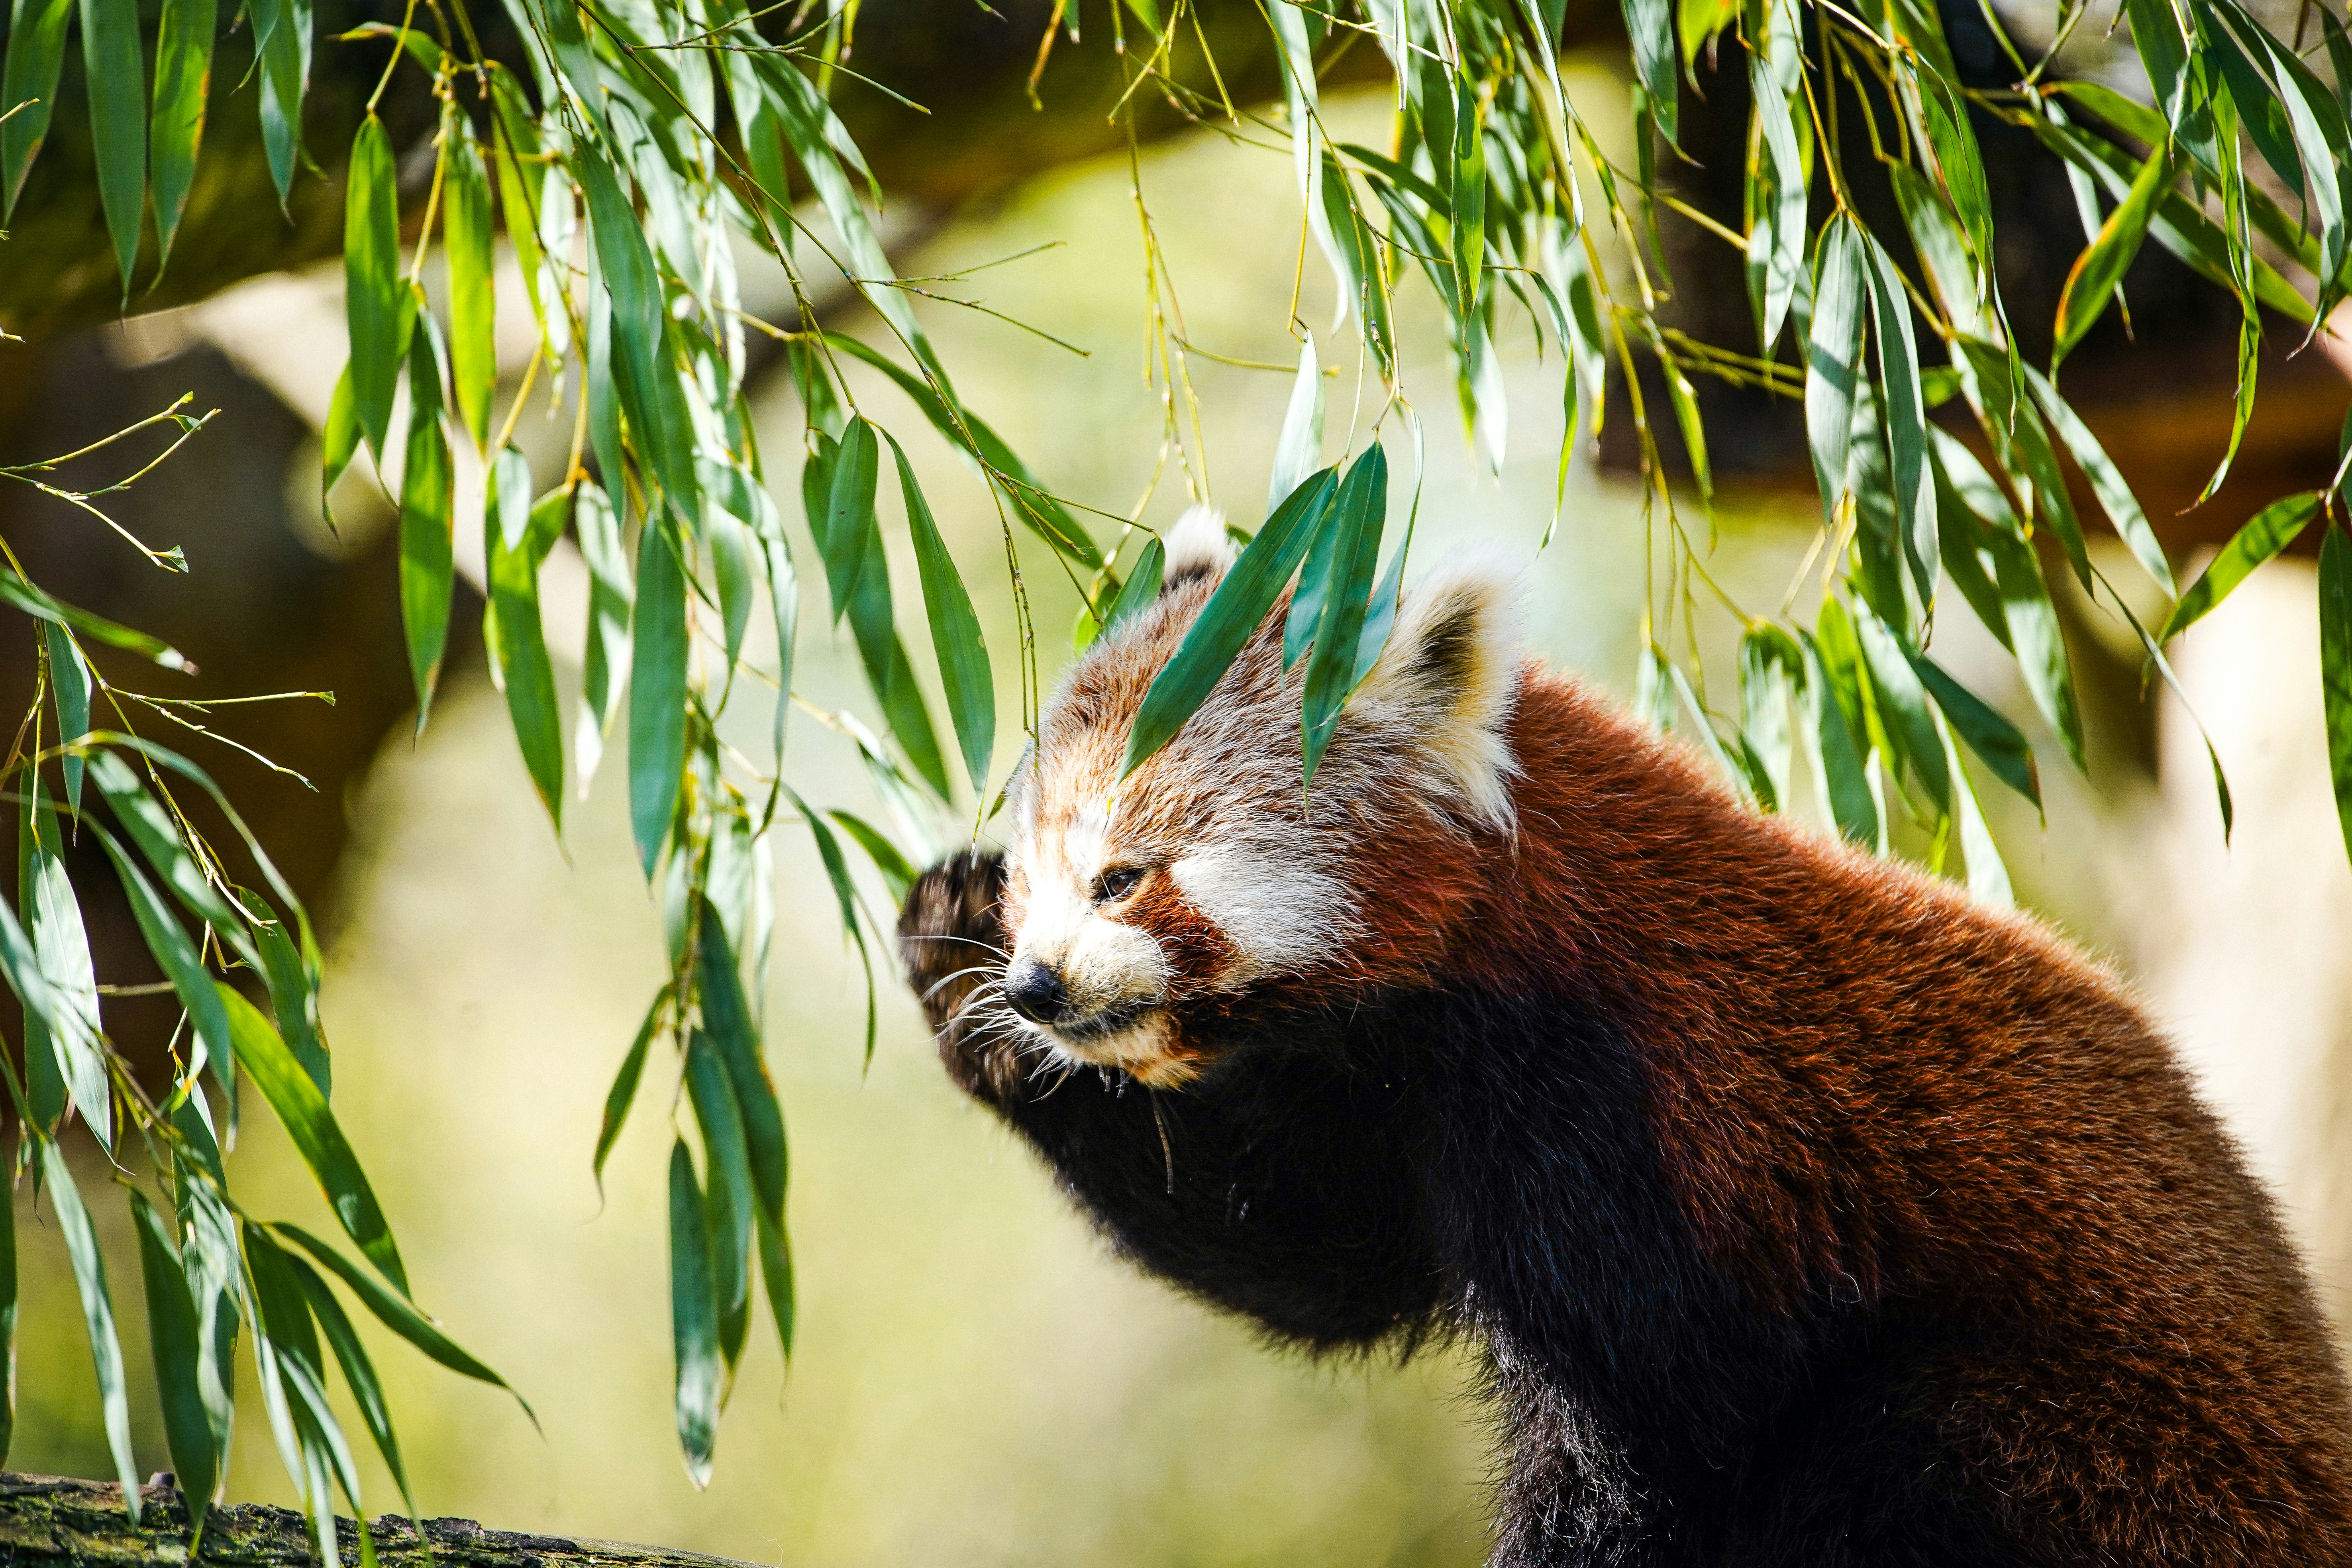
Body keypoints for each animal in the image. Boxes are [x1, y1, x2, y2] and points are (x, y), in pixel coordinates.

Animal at [896, 504, 2352, 1566]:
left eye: (1122, 877)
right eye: (1035, 874)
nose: (1036, 985)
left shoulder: (1641, 1119)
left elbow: (1649, 1450)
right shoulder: (1397, 1107)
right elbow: (1321, 1257)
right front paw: (949, 950)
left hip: (2083, 1445)